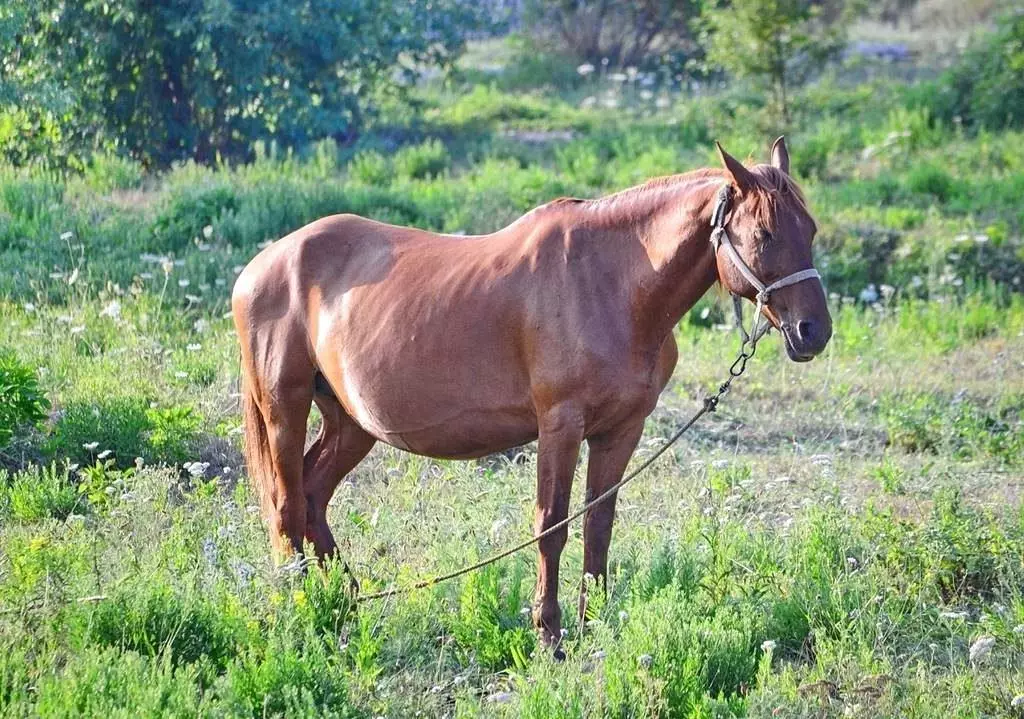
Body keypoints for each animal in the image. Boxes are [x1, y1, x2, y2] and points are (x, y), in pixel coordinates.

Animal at [232, 138, 831, 655]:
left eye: (810, 227)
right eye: (765, 234)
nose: (814, 332)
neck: (611, 282)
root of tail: (262, 265)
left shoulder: (621, 431)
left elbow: (598, 524)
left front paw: (597, 624)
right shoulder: (560, 425)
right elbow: (552, 524)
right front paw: (549, 634)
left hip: (352, 423)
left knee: (314, 495)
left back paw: (345, 602)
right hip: (284, 409)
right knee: (287, 506)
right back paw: (303, 608)